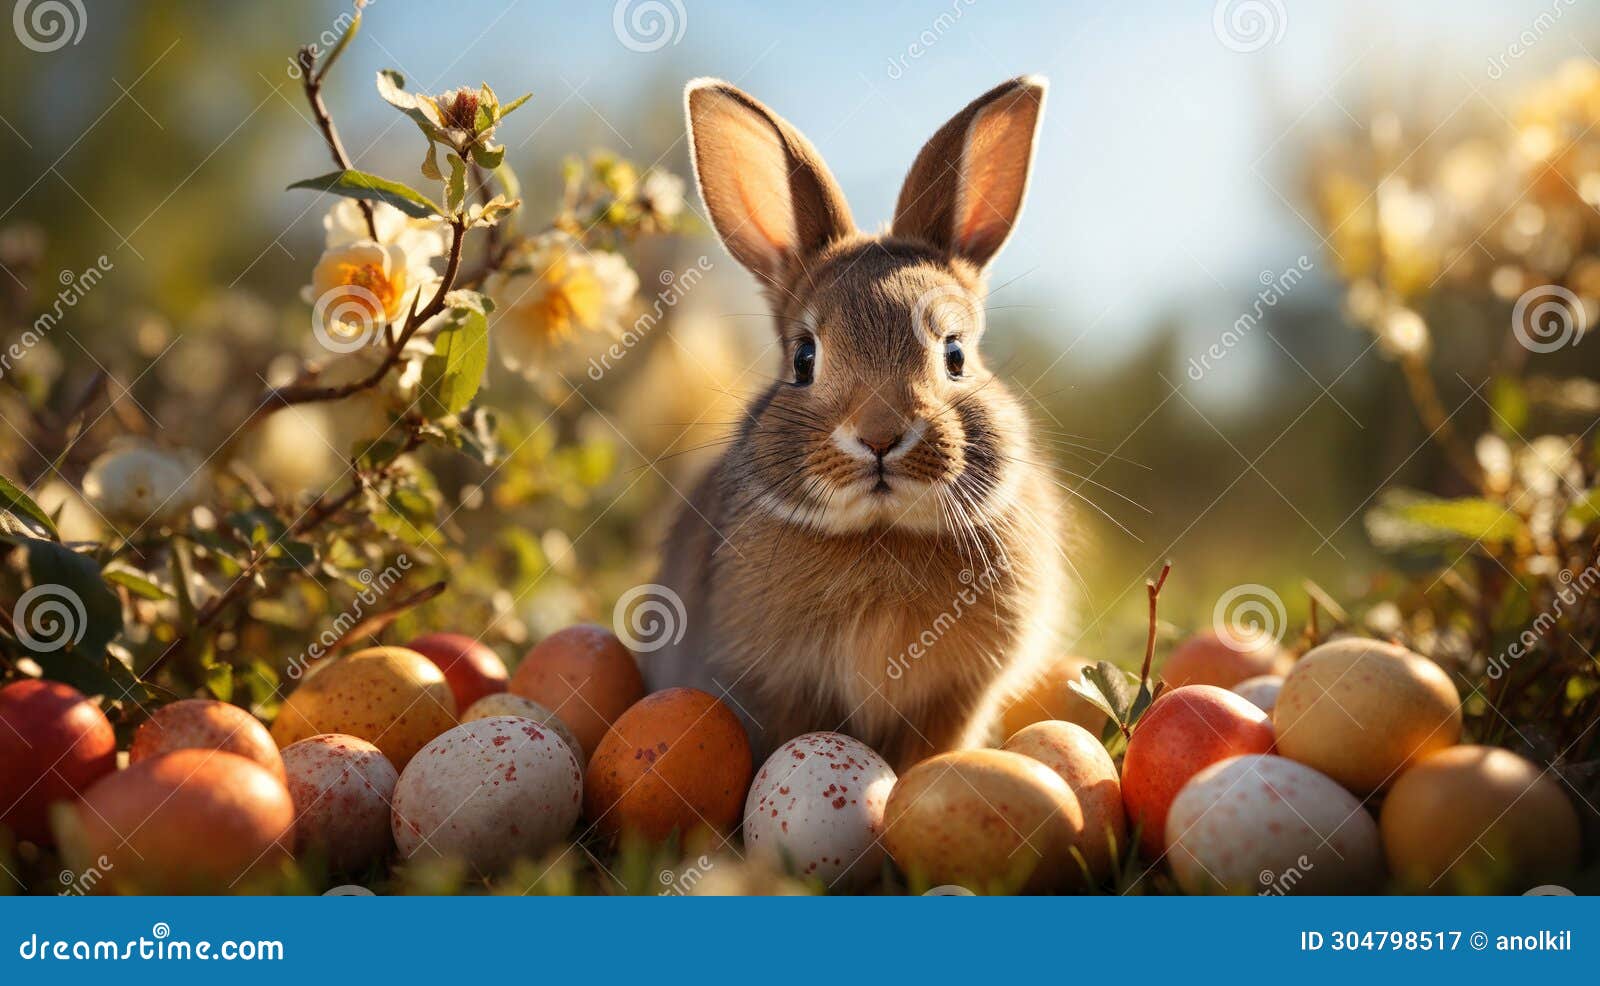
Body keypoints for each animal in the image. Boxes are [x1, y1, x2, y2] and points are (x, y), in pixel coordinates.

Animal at [648, 75, 1071, 771]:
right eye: (803, 358)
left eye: (956, 354)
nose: (879, 437)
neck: (881, 532)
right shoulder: (775, 689)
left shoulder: (958, 696)